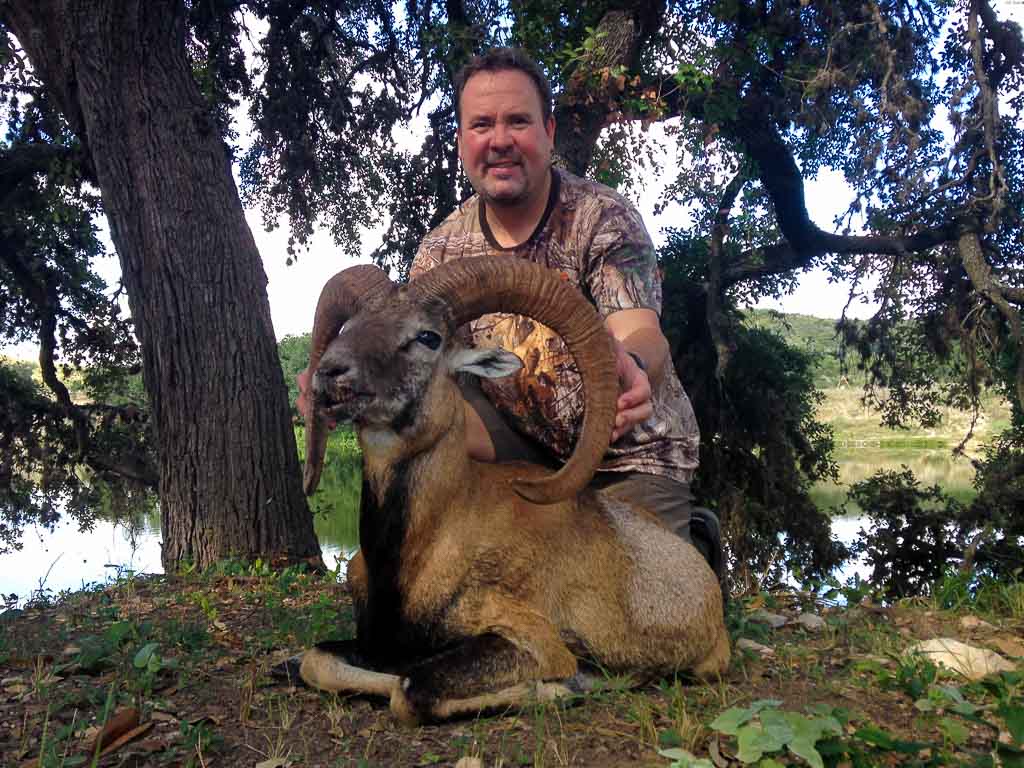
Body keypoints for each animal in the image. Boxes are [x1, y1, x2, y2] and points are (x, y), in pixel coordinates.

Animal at [299, 255, 730, 725]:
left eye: (428, 337)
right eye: (350, 326)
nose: (329, 373)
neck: (410, 555)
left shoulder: (531, 639)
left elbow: (409, 688)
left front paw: (562, 687)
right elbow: (317, 662)